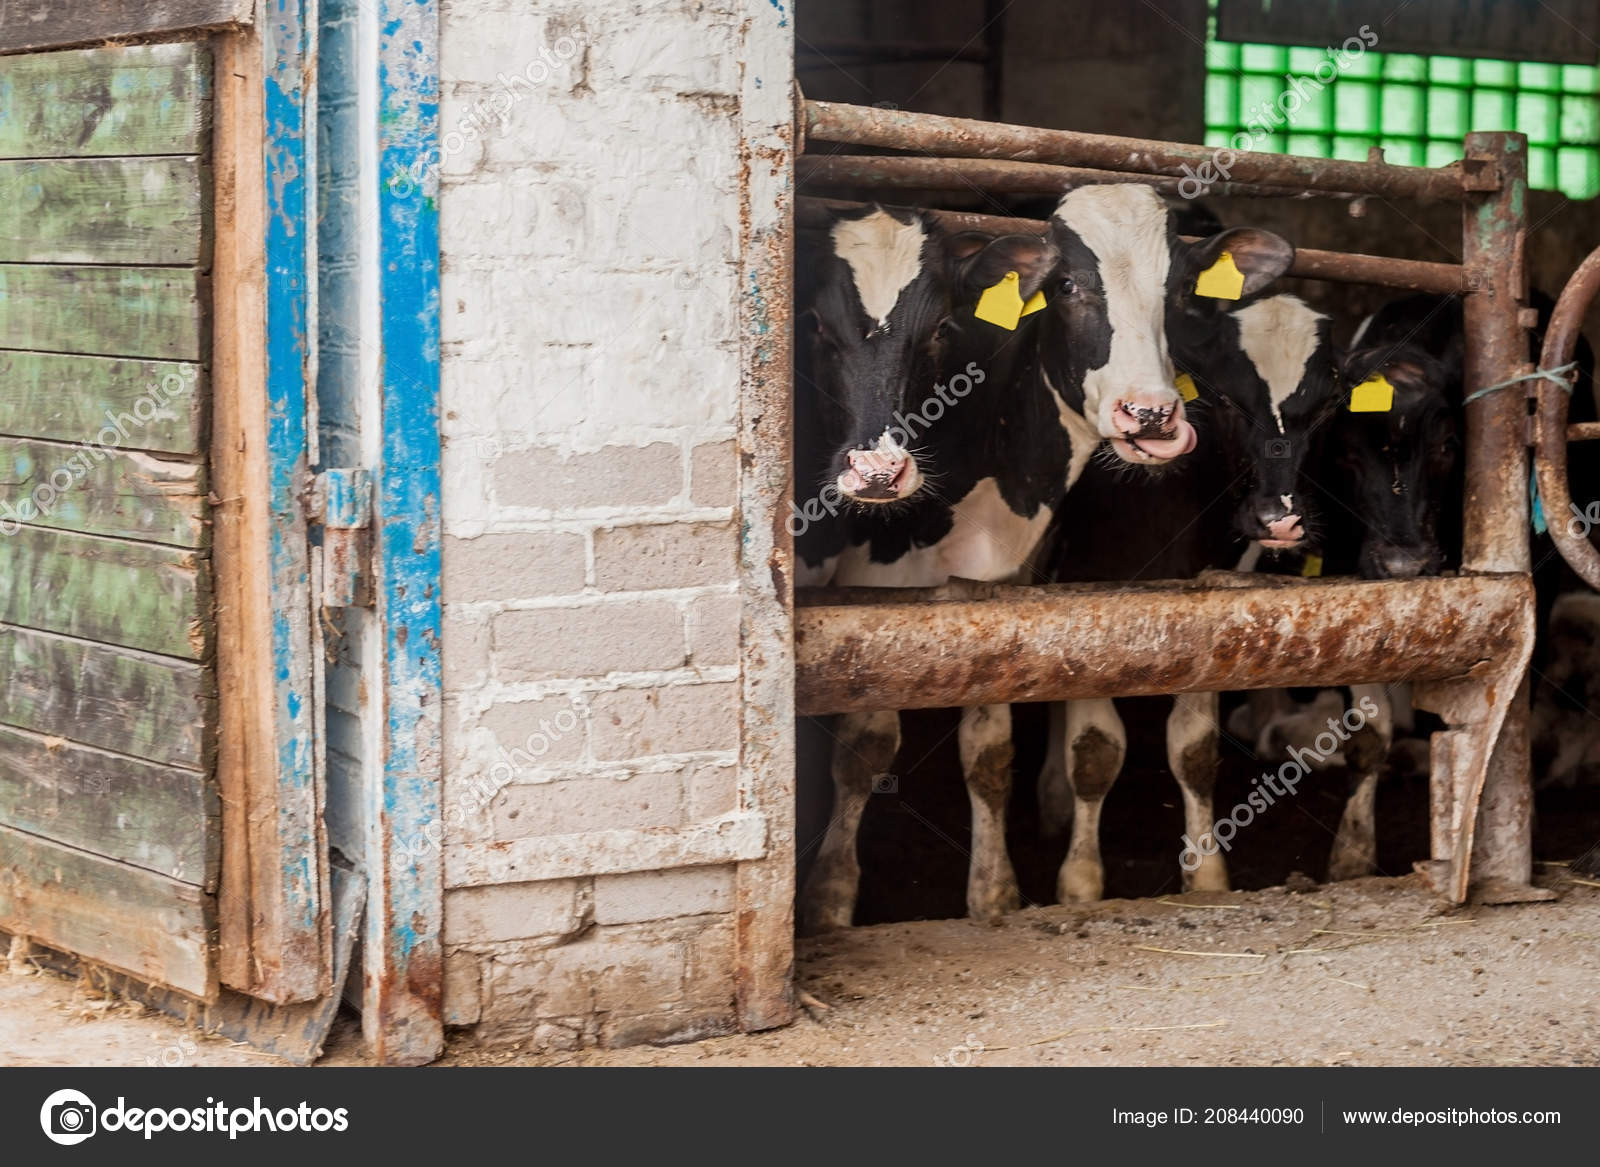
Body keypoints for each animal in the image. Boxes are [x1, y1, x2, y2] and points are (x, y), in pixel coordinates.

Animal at [794, 187, 1293, 931]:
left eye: (1180, 292)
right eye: (1066, 287)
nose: (1152, 415)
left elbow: (994, 746)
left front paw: (994, 893)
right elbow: (865, 747)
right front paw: (829, 895)